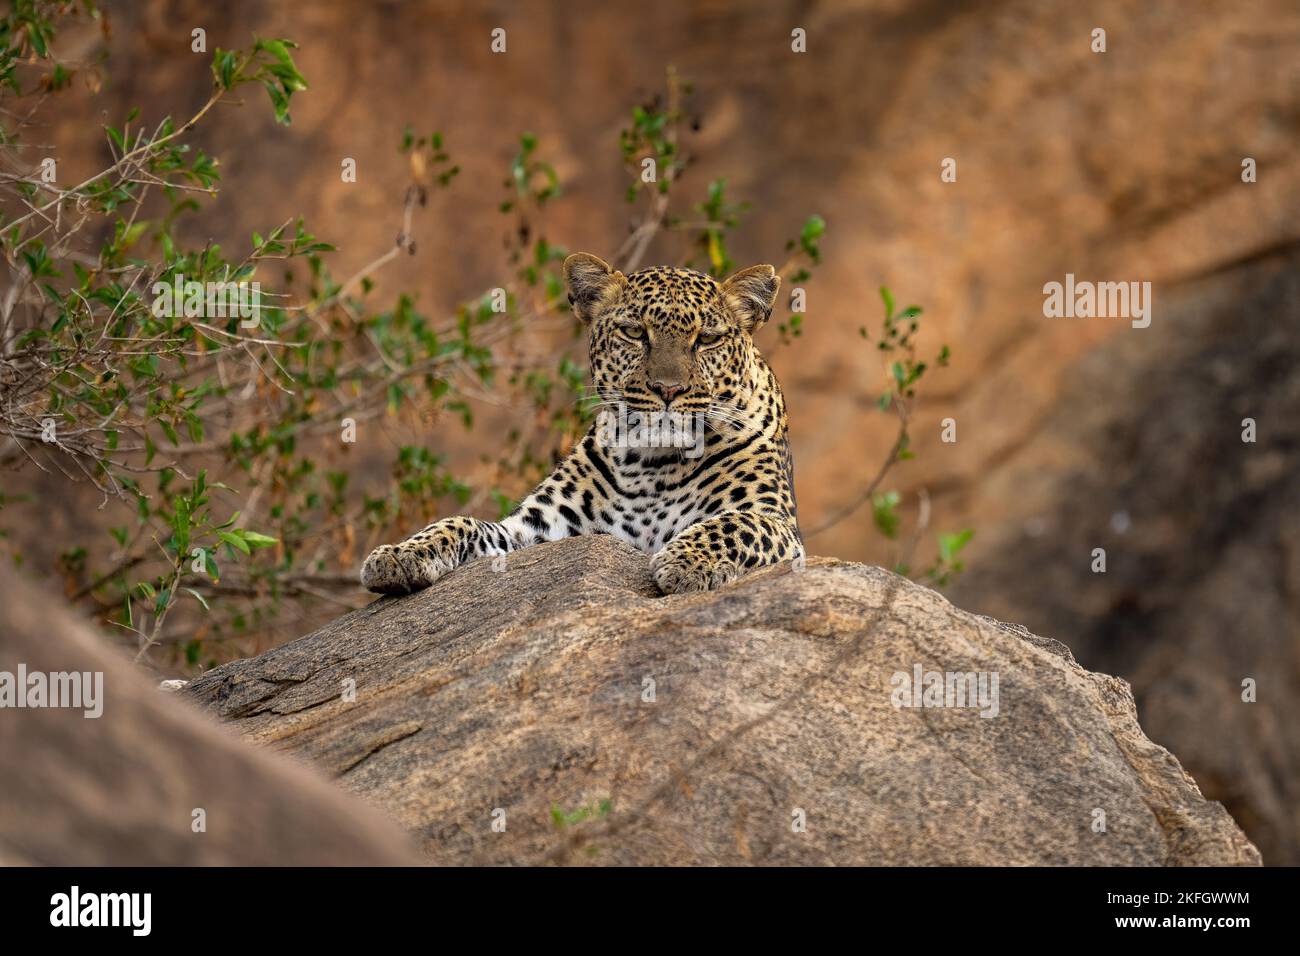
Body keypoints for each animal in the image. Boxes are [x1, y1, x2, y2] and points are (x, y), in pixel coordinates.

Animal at [360, 252, 803, 596]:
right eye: (634, 332)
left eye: (708, 339)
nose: (668, 389)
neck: (653, 464)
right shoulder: (540, 531)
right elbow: (462, 522)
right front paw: (399, 554)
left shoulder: (782, 527)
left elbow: (736, 523)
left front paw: (685, 562)